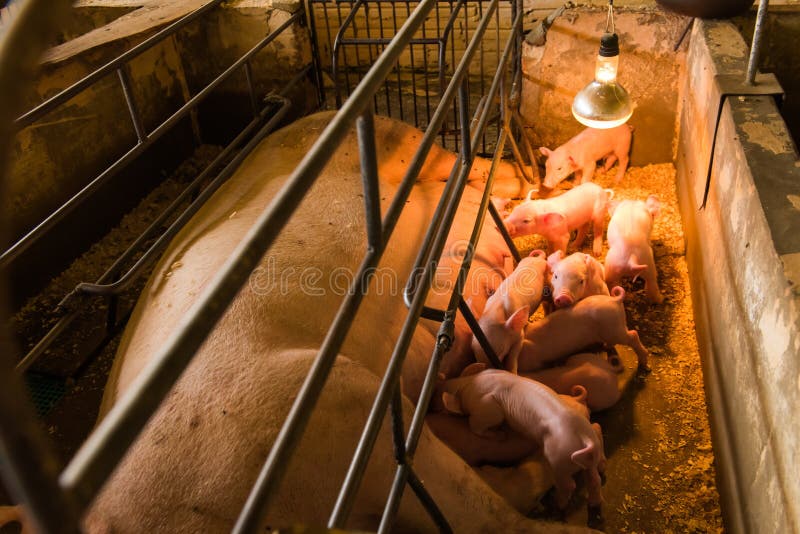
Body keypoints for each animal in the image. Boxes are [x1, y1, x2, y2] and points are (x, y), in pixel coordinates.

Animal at [437, 364, 606, 508]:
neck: (466, 385)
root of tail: (585, 439)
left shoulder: (486, 408)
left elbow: (478, 424)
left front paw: (501, 435)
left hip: (559, 458)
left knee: (570, 484)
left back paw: (558, 503)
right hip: (587, 453)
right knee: (594, 476)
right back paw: (595, 499)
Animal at [518, 286, 650, 373]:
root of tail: (615, 300)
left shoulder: (533, 362)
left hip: (614, 329)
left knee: (633, 335)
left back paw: (645, 365)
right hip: (612, 329)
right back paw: (605, 346)